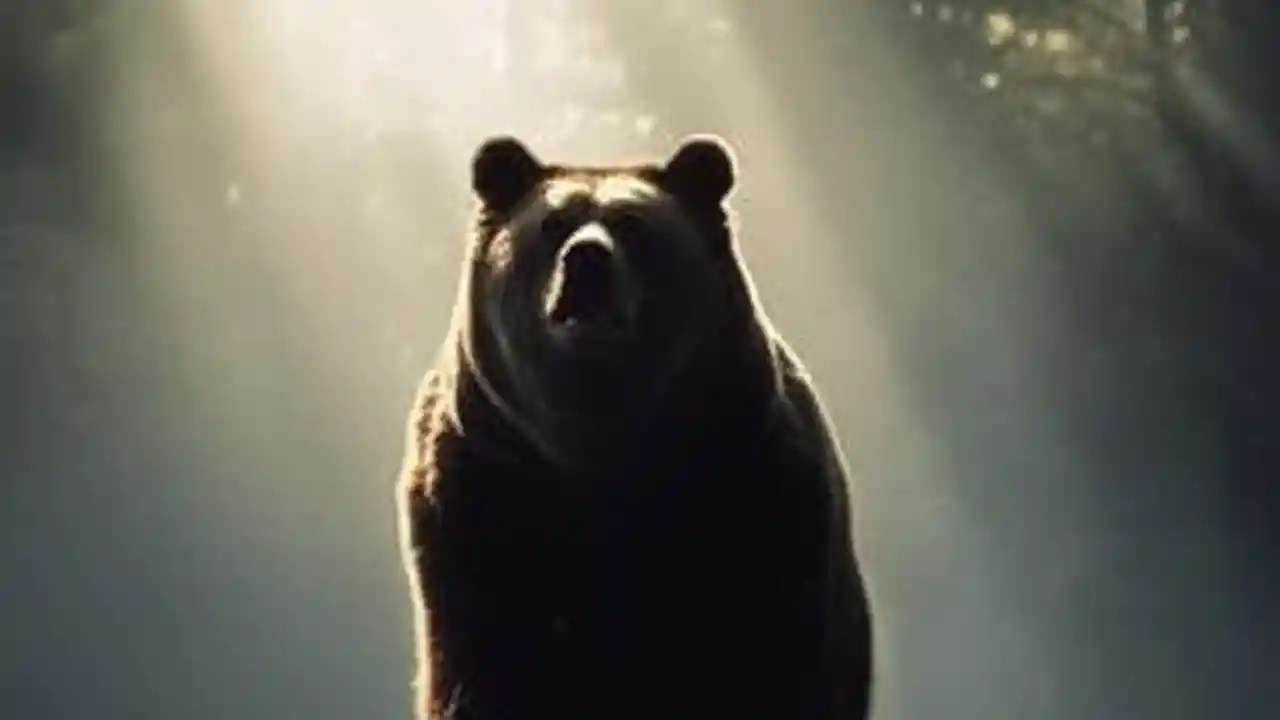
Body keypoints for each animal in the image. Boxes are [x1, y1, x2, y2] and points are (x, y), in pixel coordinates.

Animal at [396, 135, 873, 720]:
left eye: (632, 224)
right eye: (553, 223)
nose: (586, 259)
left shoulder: (755, 497)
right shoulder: (485, 500)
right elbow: (488, 671)